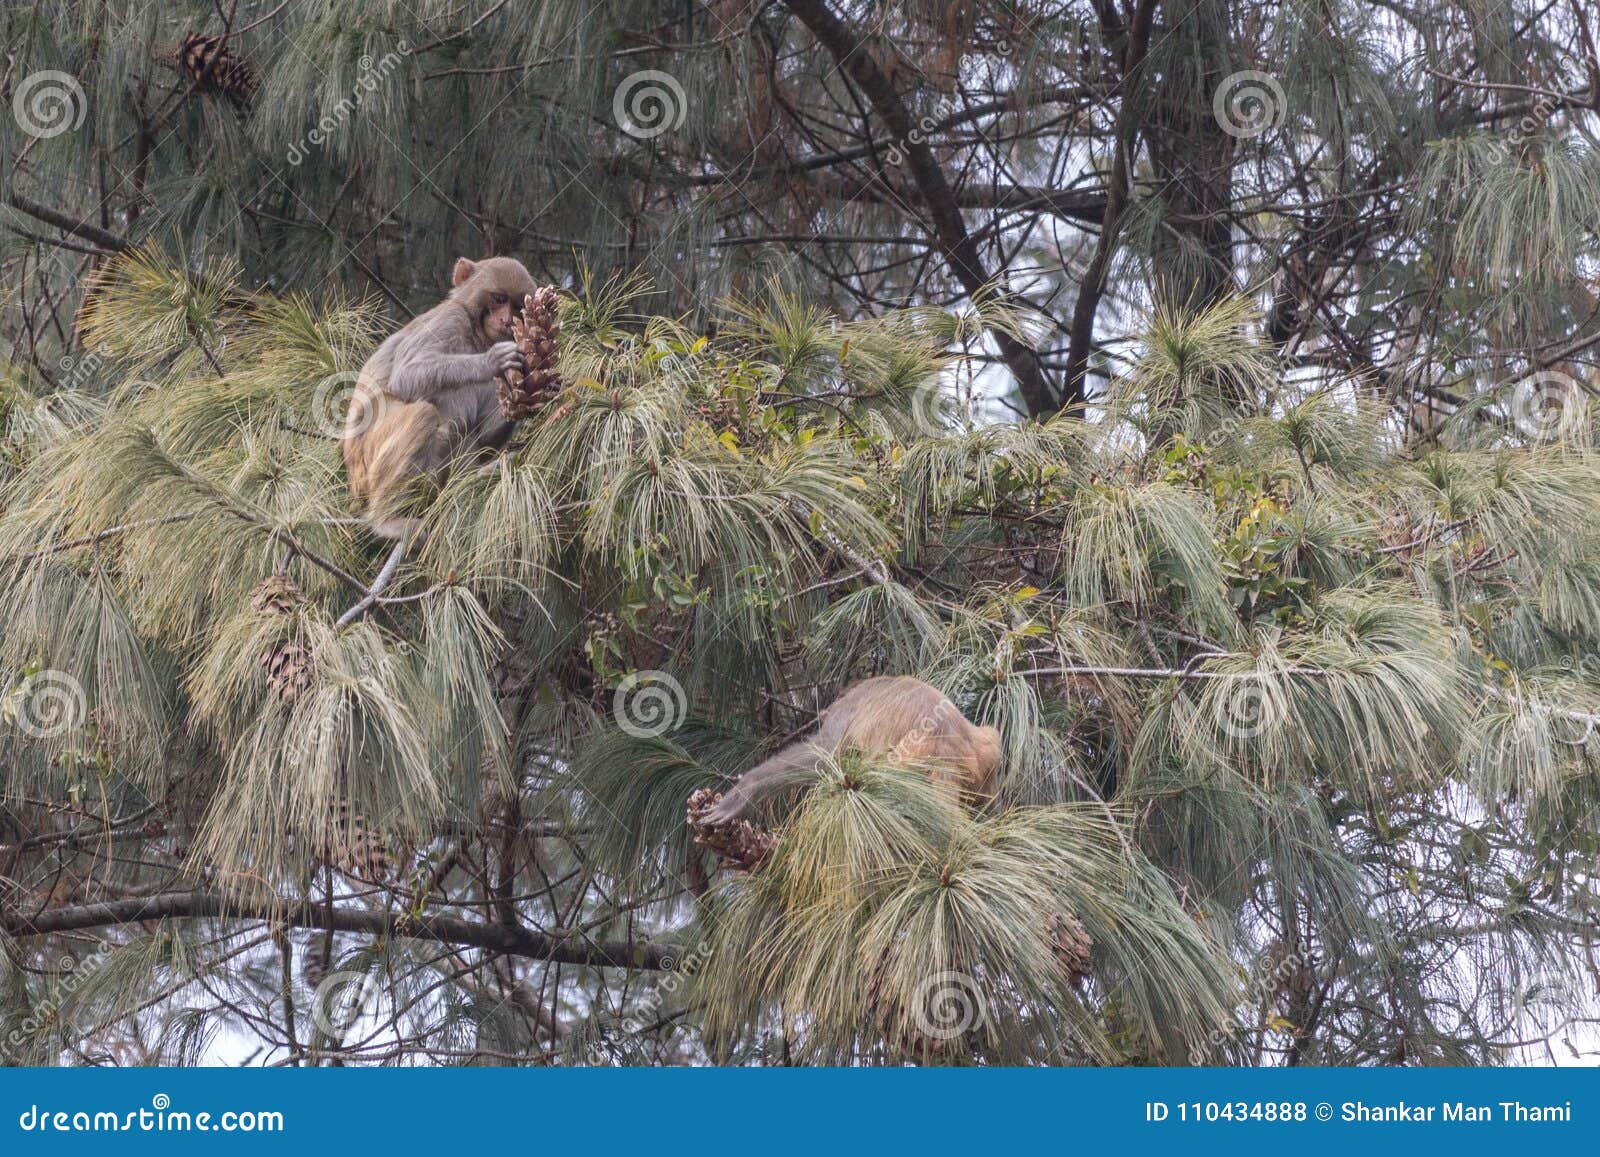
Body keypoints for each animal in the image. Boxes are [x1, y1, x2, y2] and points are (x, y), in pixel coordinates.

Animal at [341, 256, 538, 540]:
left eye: (516, 306)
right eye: (499, 298)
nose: (506, 320)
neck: (476, 336)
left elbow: (485, 437)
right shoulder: (449, 320)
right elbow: (405, 375)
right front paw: (488, 362)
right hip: (368, 457)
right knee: (424, 414)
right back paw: (386, 519)